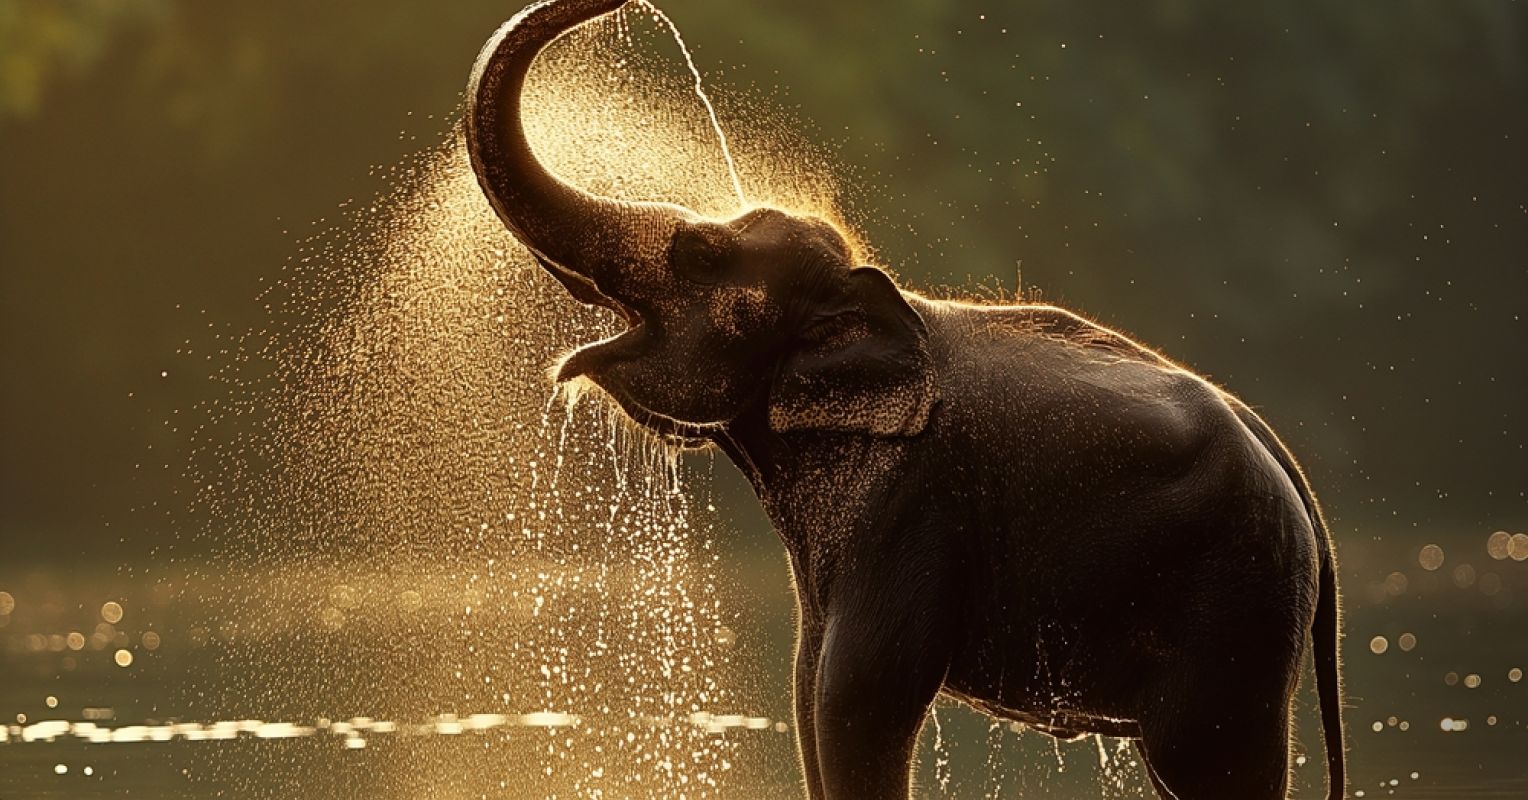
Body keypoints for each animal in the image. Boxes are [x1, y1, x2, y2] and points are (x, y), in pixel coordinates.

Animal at [464, 2, 1346, 798]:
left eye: (703, 251)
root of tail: (1303, 491)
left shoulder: (911, 507)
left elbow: (858, 701)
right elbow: (807, 696)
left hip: (1236, 608)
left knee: (1214, 765)